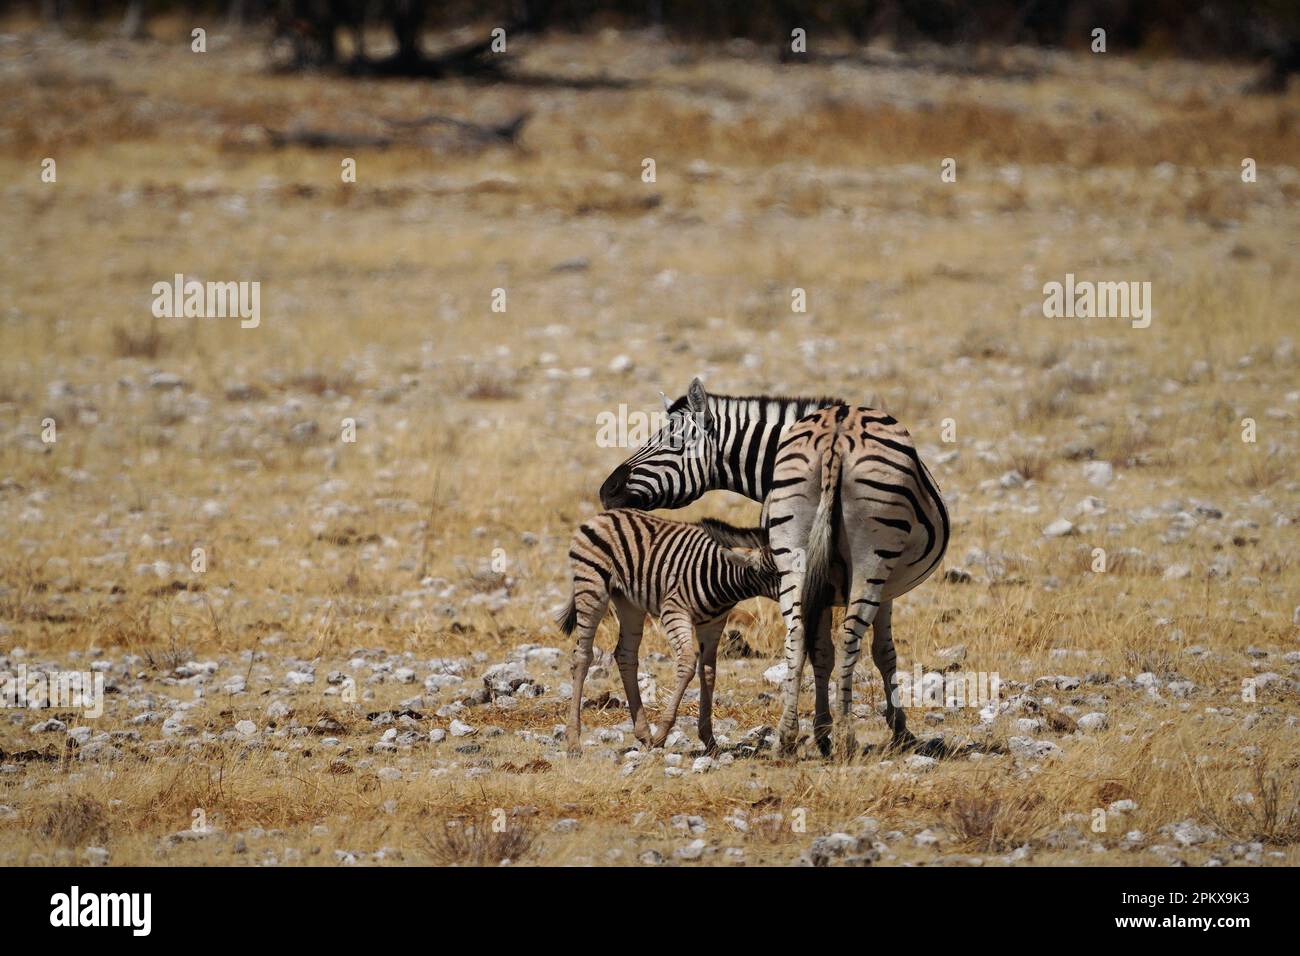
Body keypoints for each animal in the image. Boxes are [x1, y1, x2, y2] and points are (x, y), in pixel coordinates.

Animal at [557, 509, 778, 756]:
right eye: (777, 573)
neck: (722, 577)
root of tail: (603, 515)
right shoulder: (674, 610)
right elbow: (687, 664)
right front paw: (662, 734)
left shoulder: (713, 624)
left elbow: (708, 671)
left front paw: (709, 741)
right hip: (591, 586)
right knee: (582, 656)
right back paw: (574, 741)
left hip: (629, 603)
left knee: (625, 655)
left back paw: (643, 733)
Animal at [598, 378, 950, 759]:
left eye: (671, 442)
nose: (606, 491)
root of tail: (836, 436)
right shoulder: (882, 587)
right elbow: (878, 653)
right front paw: (898, 731)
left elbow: (823, 651)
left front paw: (824, 732)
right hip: (872, 557)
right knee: (848, 637)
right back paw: (844, 737)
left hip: (795, 555)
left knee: (797, 637)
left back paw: (788, 738)